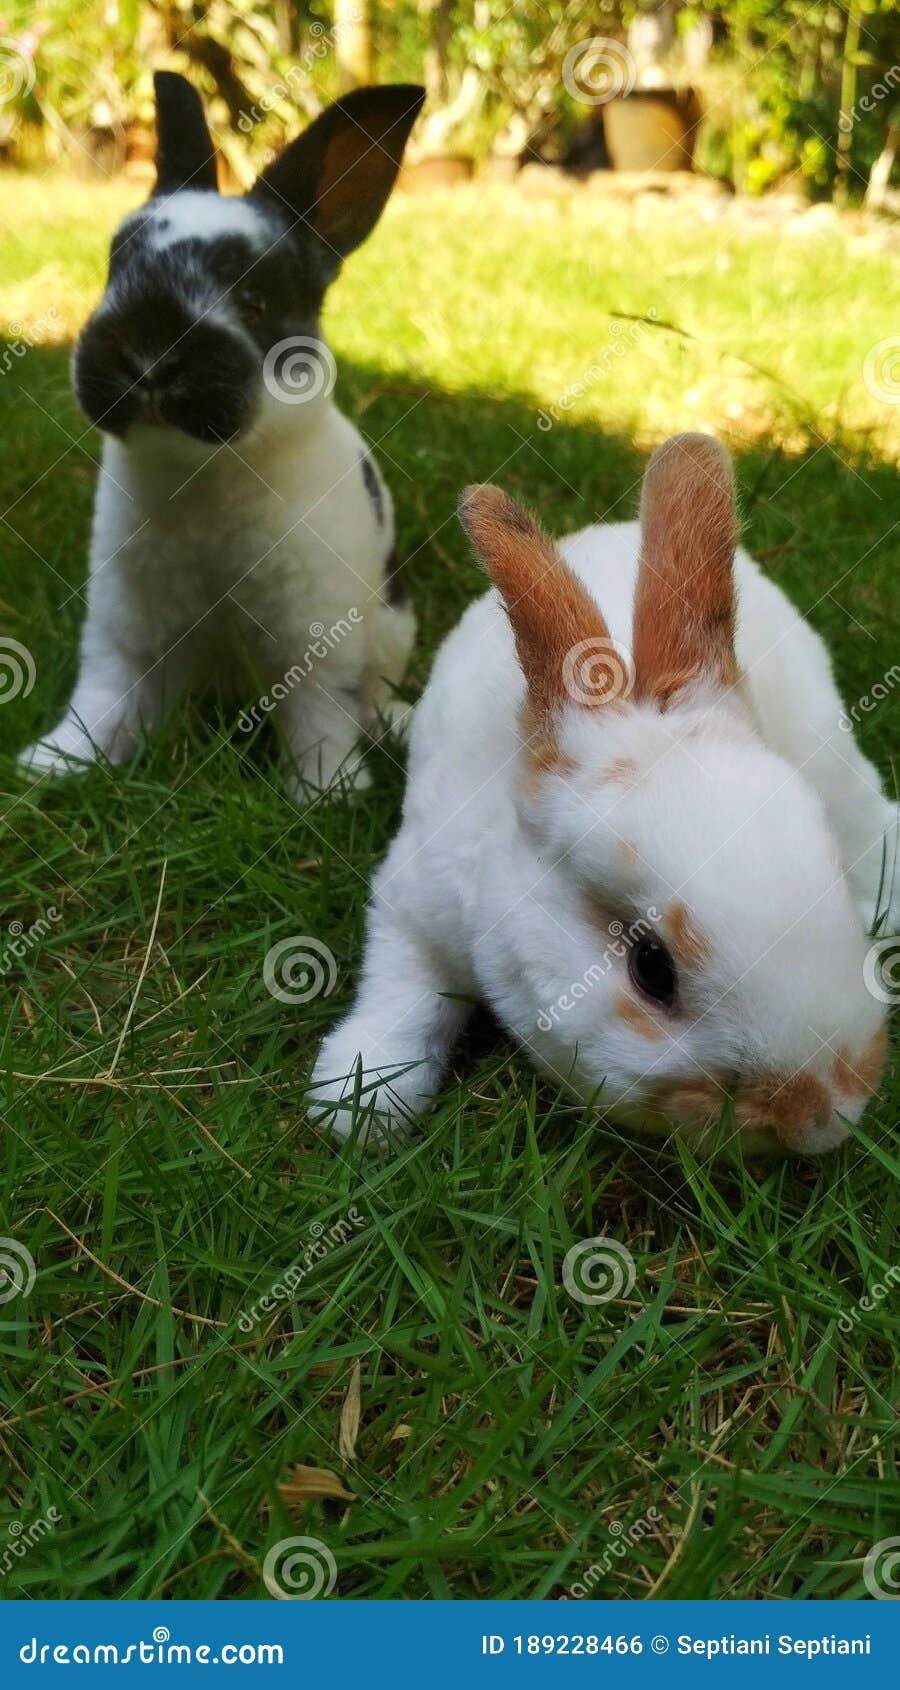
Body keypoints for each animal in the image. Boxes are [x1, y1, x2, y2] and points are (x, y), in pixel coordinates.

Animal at [19, 72, 424, 794]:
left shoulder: (315, 632)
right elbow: (106, 692)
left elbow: (319, 711)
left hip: (392, 620)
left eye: (255, 302)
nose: (148, 357)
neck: (204, 470)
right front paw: (57, 761)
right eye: (115, 267)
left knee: (371, 693)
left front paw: (325, 792)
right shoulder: (125, 621)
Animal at [311, 433, 898, 1156]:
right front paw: (355, 1102)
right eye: (651, 968)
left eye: (833, 885)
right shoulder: (412, 904)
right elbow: (402, 989)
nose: (822, 1115)